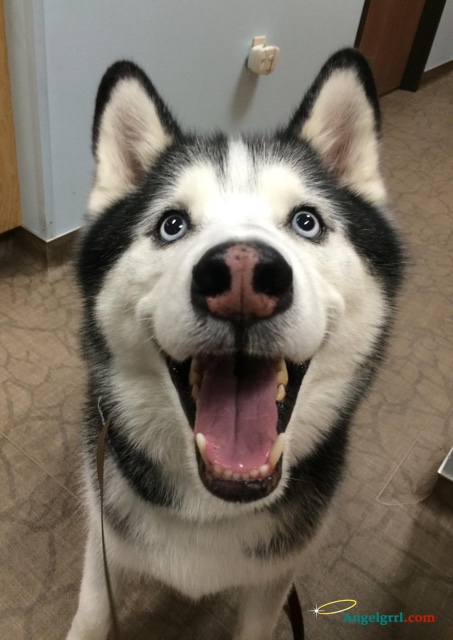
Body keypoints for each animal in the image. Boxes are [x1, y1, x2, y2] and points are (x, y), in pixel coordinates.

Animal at [67, 49, 404, 640]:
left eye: (306, 221)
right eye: (172, 224)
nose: (243, 274)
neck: (214, 506)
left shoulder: (274, 579)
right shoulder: (105, 545)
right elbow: (91, 612)